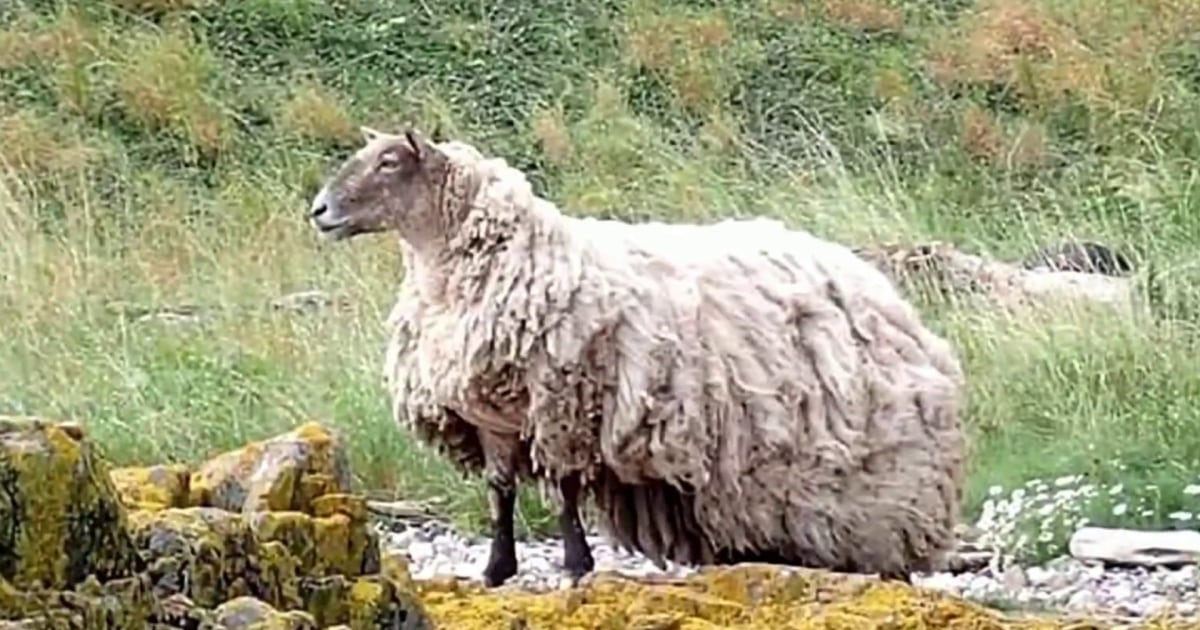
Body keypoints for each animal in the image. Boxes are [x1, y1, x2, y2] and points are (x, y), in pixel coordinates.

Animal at [308, 126, 969, 588]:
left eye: (389, 162)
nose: (318, 210)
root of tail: (888, 297)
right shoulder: (491, 416)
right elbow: (500, 493)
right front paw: (497, 570)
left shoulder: (562, 404)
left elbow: (564, 491)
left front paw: (577, 565)